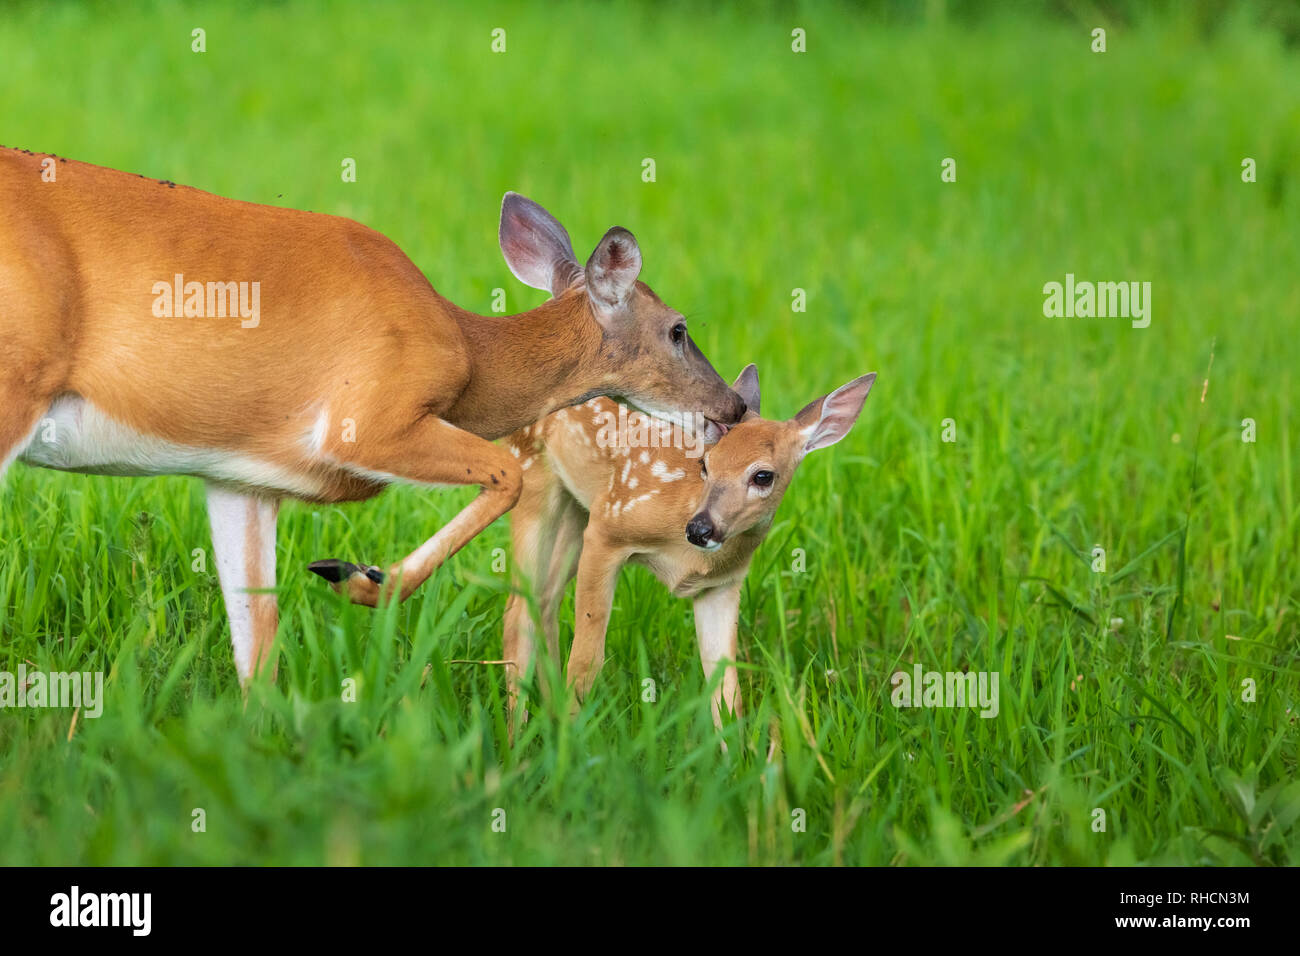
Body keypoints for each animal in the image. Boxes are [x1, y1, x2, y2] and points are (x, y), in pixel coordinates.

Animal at [0, 145, 746, 685]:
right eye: (679, 330)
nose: (733, 406)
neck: (464, 344)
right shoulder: (367, 414)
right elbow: (504, 474)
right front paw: (360, 578)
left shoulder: (240, 476)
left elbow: (256, 641)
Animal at [502, 363, 875, 732]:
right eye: (706, 464)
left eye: (763, 476)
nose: (699, 529)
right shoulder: (608, 525)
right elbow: (586, 660)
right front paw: (573, 738)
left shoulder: (722, 585)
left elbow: (726, 690)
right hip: (532, 476)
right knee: (517, 609)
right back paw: (518, 734)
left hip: (576, 508)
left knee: (544, 599)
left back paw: (547, 715)